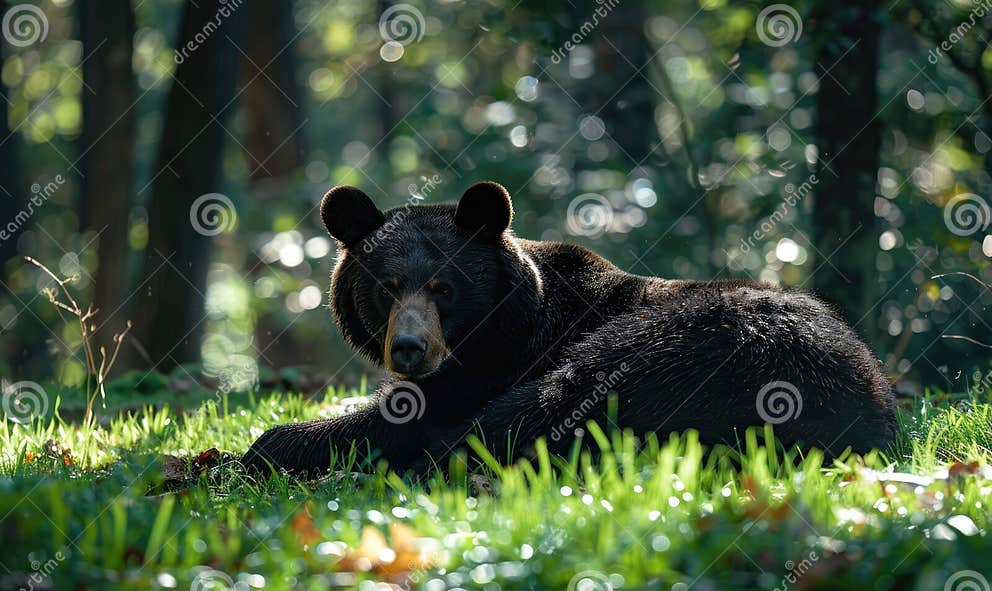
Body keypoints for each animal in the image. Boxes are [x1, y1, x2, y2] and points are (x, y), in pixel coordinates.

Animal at [241, 181, 898, 477]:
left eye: (444, 288)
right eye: (386, 286)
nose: (408, 349)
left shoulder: (503, 363)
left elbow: (414, 416)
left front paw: (272, 444)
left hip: (696, 347)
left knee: (552, 403)